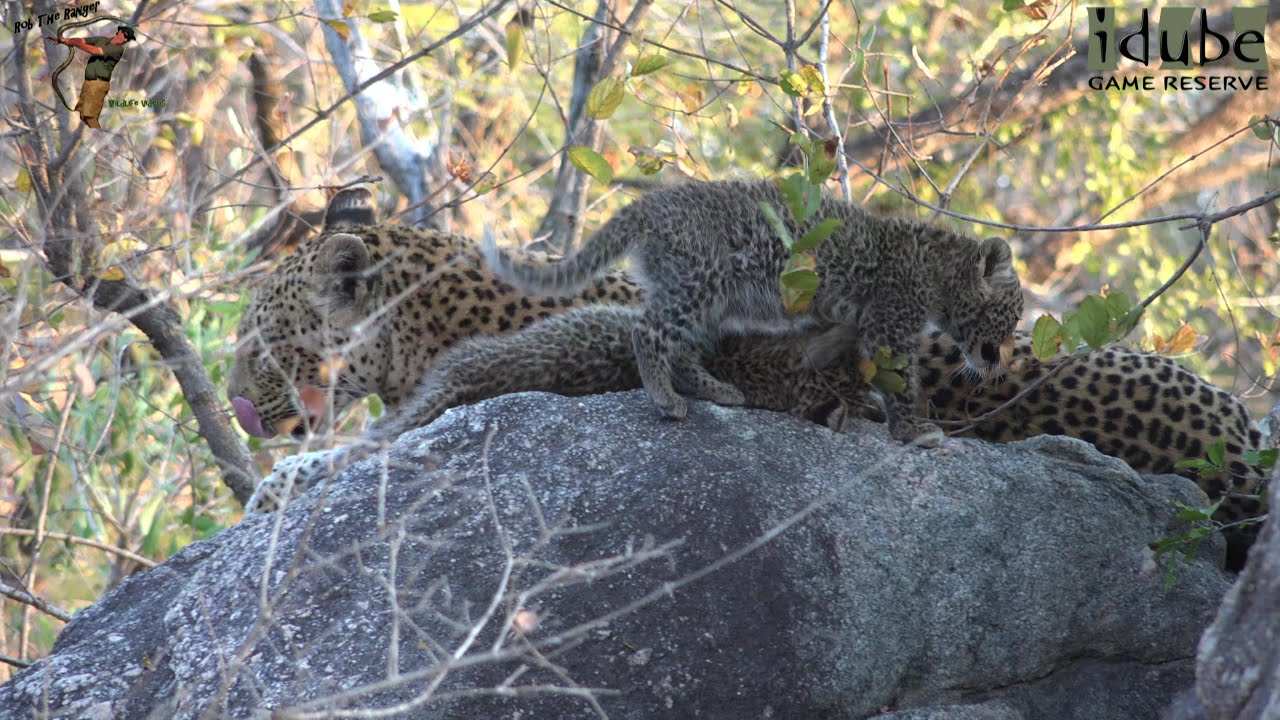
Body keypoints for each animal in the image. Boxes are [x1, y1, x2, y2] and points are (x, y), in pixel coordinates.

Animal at [483, 179, 1024, 446]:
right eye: (1015, 316)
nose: (1002, 359)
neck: (940, 269)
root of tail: (650, 204)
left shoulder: (850, 319)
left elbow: (832, 346)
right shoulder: (892, 325)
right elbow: (901, 381)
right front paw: (914, 432)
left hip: (707, 298)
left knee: (682, 346)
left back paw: (718, 391)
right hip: (702, 280)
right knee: (648, 331)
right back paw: (667, 399)